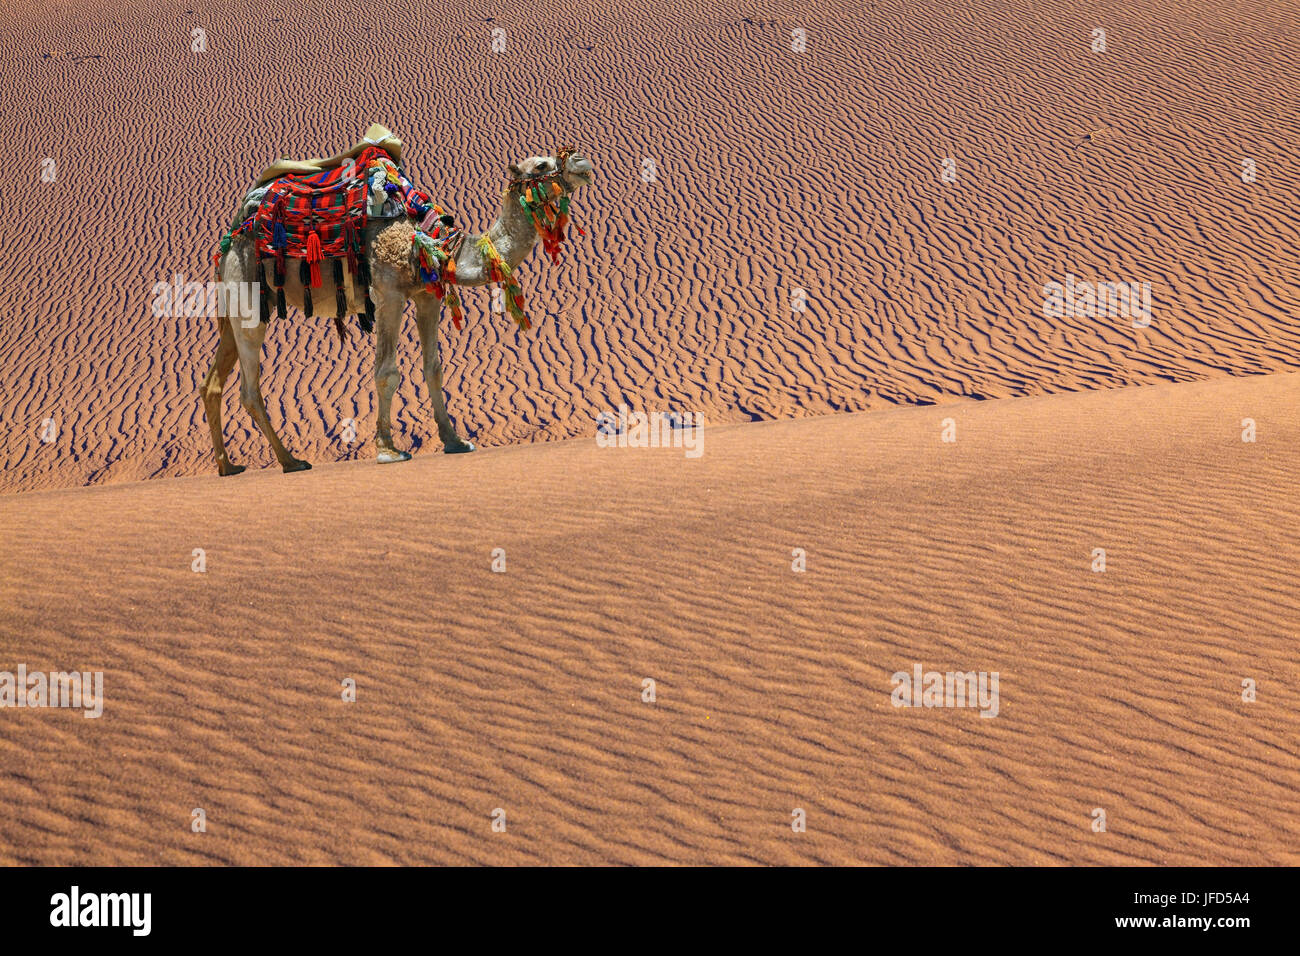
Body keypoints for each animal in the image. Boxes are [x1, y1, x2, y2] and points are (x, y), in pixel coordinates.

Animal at [201, 146, 594, 475]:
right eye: (541, 164)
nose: (583, 161)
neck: (432, 244)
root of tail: (230, 238)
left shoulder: (427, 296)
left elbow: (434, 368)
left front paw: (455, 440)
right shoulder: (388, 293)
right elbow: (387, 372)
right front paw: (388, 449)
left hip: (232, 308)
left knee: (212, 384)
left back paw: (228, 466)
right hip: (247, 297)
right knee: (249, 390)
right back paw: (291, 461)